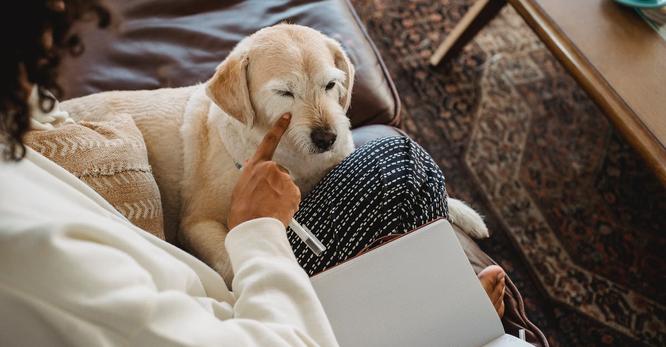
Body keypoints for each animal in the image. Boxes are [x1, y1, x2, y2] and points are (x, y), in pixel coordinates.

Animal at [63, 23, 488, 286]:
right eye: (285, 92)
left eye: (331, 84)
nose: (327, 137)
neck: (294, 155)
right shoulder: (196, 222)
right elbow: (230, 257)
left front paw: (465, 212)